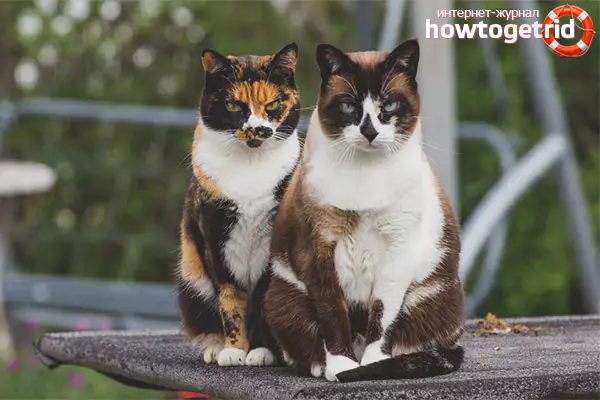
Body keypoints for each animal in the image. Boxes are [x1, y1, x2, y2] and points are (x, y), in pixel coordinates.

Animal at [177, 44, 302, 368]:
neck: (250, 166)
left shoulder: (274, 242)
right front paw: (234, 350)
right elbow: (229, 298)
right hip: (192, 275)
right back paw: (215, 347)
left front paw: (261, 351)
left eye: (273, 105)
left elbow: (262, 299)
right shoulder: (214, 236)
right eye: (234, 106)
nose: (257, 129)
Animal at [264, 39, 466, 382]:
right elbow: (333, 314)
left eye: (389, 105)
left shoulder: (398, 251)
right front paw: (341, 367)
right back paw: (324, 367)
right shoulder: (319, 250)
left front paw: (372, 365)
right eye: (349, 107)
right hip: (283, 298)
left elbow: (382, 317)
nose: (370, 132)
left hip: (432, 297)